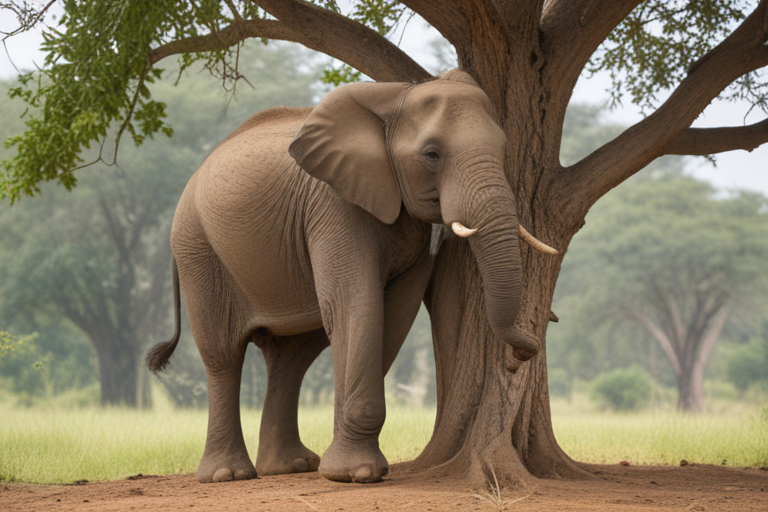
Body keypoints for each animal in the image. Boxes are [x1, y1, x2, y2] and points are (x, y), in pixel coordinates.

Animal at [145, 69, 556, 485]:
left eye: (503, 149)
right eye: (432, 154)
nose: (521, 355)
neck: (397, 98)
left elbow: (396, 314)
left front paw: (342, 468)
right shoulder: (334, 203)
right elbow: (356, 302)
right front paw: (356, 473)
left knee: (292, 357)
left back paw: (291, 466)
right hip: (197, 248)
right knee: (223, 353)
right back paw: (227, 475)